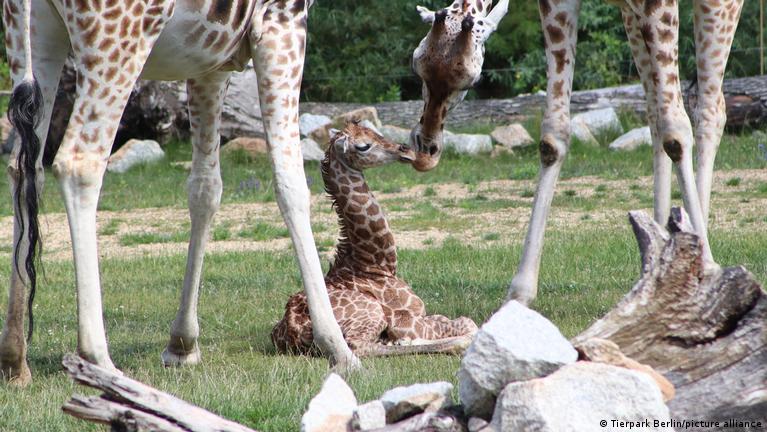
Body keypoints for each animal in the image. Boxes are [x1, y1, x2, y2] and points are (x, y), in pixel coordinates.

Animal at [1, 0, 358, 386]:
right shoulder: (283, 21)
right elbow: (290, 180)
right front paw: (337, 347)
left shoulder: (211, 61)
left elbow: (205, 188)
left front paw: (182, 344)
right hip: (117, 39)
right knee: (79, 162)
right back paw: (98, 360)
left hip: (33, 35)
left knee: (26, 167)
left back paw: (15, 360)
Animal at [271, 123, 478, 356]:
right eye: (363, 146)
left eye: (374, 131)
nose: (406, 150)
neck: (375, 264)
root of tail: (292, 333)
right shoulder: (405, 321)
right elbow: (468, 322)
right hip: (371, 312)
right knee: (358, 346)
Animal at [408, 0, 743, 304]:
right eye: (416, 65)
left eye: (472, 79)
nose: (427, 147)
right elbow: (553, 137)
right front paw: (519, 295)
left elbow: (676, 129)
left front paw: (706, 269)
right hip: (631, 15)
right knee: (655, 113)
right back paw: (656, 255)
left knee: (709, 110)